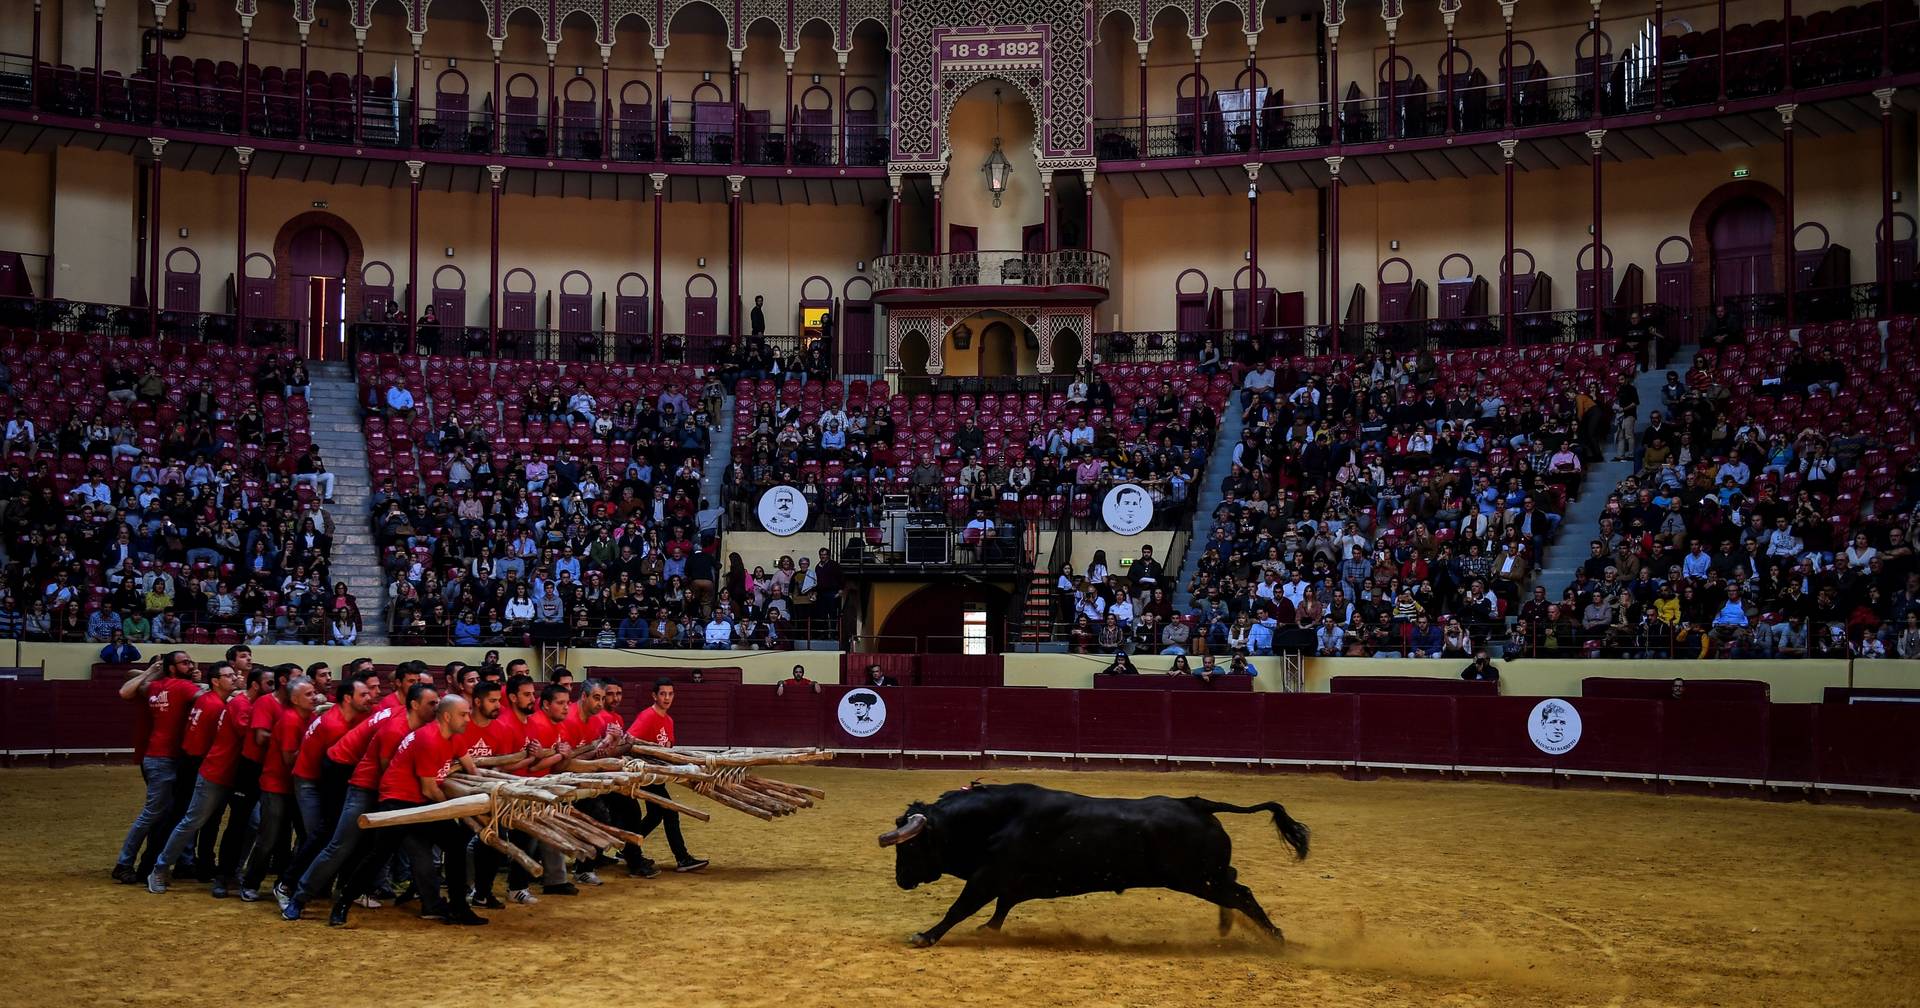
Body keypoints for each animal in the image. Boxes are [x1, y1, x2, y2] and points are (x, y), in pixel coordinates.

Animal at [879, 787, 1305, 944]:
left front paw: (925, 936)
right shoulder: (1009, 883)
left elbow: (959, 908)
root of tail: (1196, 803)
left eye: (909, 849)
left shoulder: (988, 877)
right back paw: (1230, 926)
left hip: (1197, 878)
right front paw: (990, 930)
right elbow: (1002, 907)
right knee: (1234, 887)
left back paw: (1276, 937)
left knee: (1242, 893)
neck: (995, 820)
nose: (900, 880)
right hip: (1207, 876)